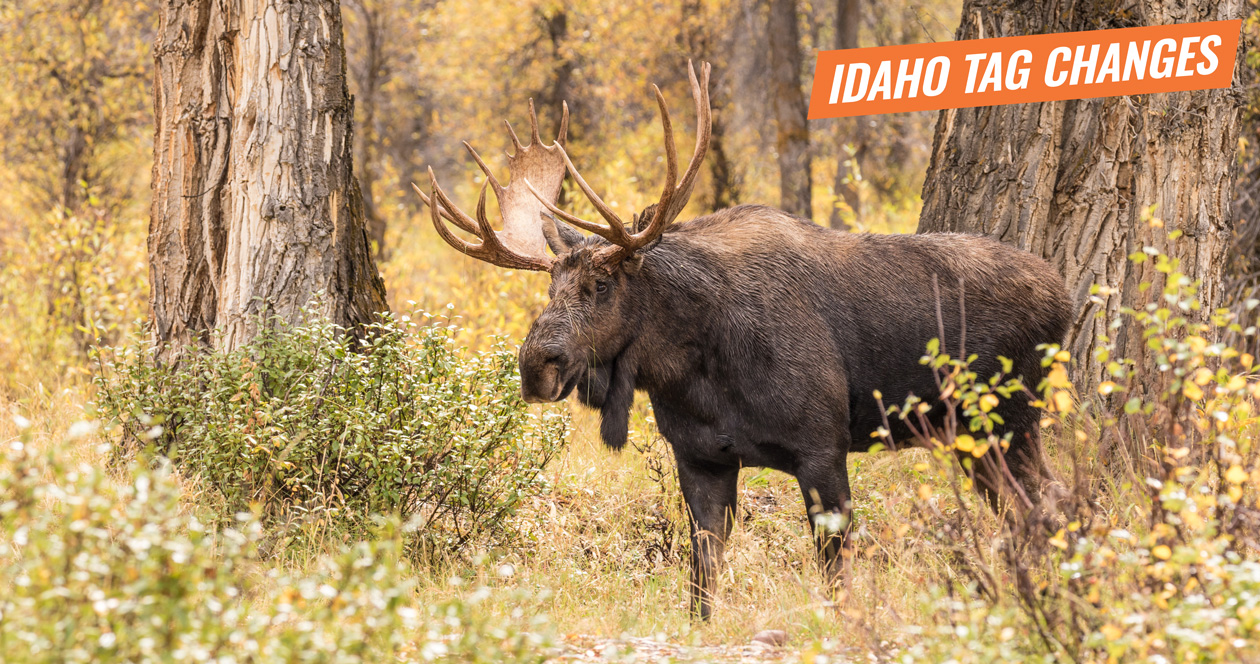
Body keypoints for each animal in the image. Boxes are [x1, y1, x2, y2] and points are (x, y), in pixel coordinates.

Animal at [414, 62, 1071, 620]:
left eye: (601, 284)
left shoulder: (823, 447)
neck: (698, 373)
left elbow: (835, 576)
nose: (536, 365)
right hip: (978, 437)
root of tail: (1065, 297)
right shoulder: (701, 457)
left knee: (1048, 503)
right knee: (1036, 510)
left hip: (1009, 422)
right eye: (550, 286)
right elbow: (702, 578)